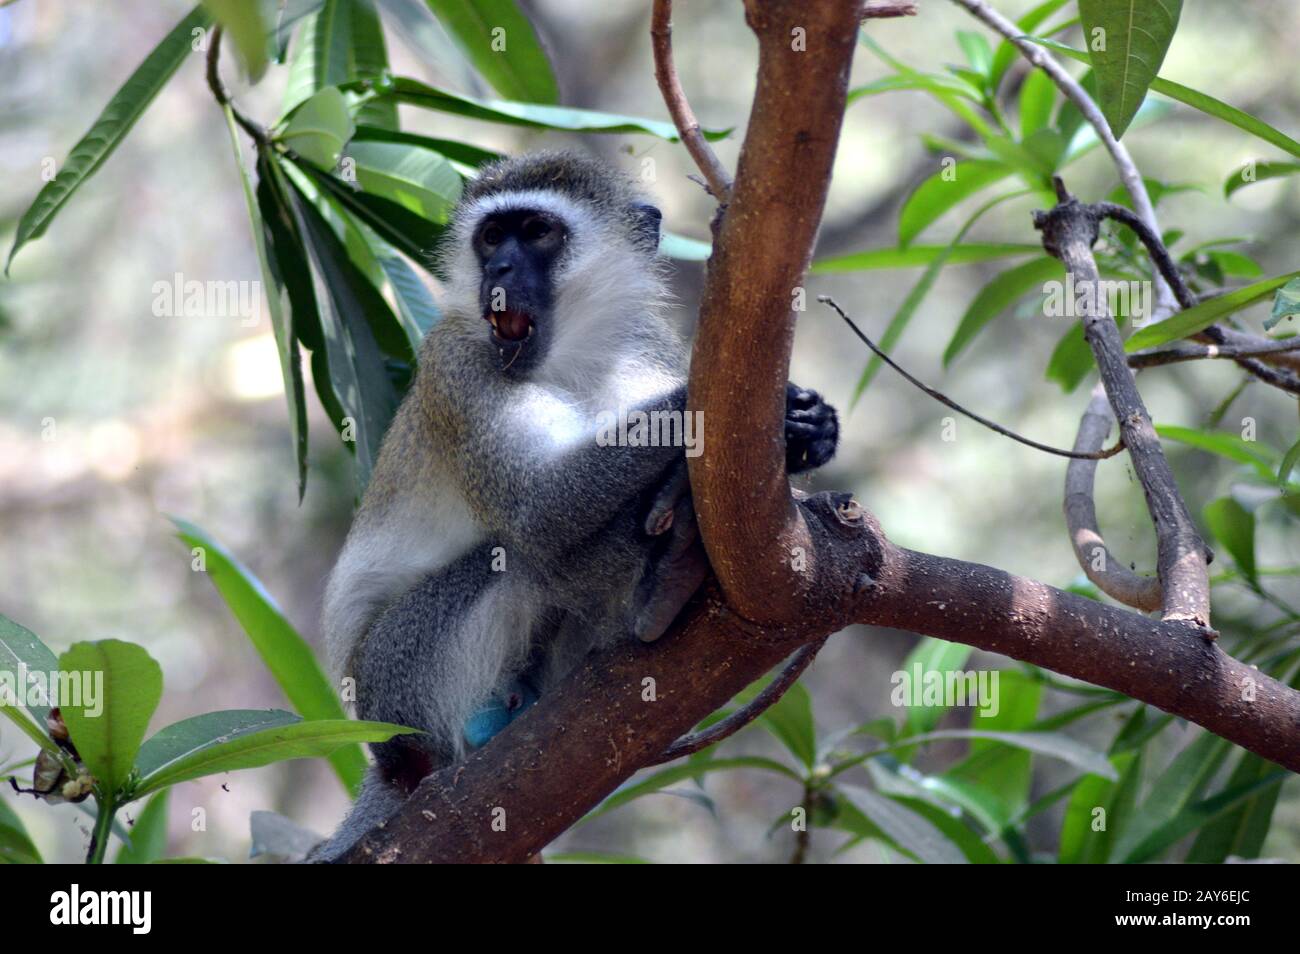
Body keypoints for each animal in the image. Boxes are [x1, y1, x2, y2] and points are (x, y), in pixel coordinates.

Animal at [310, 151, 839, 861]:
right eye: (490, 239)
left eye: (537, 233)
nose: (501, 271)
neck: (575, 355)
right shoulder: (458, 362)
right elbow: (539, 506)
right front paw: (745, 417)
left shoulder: (644, 348)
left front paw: (812, 431)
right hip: (398, 675)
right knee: (526, 556)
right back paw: (666, 573)